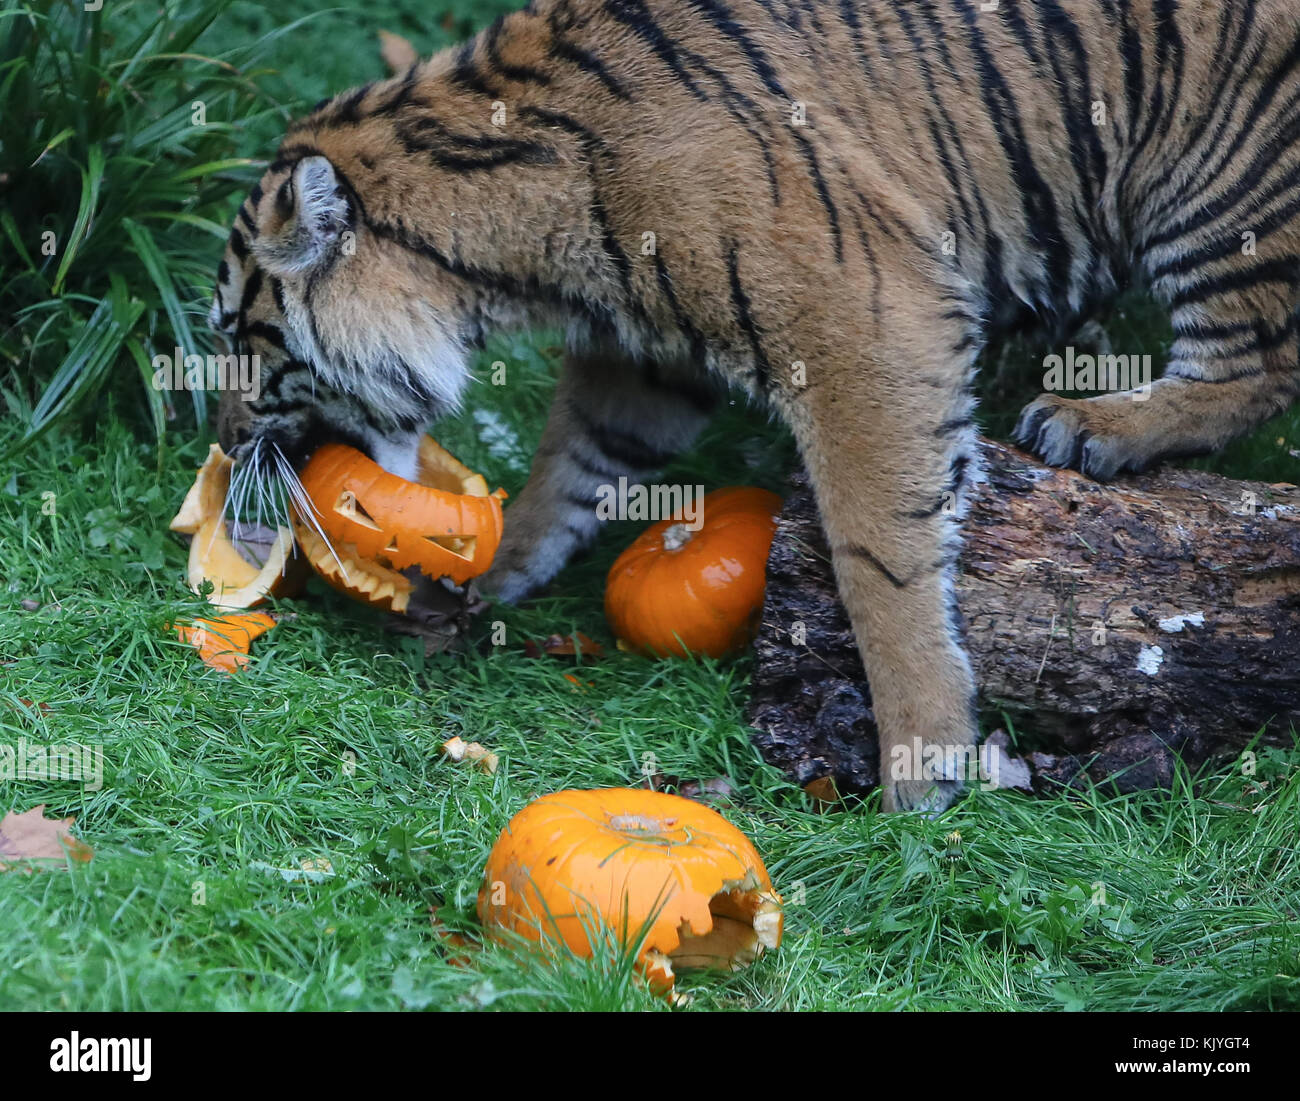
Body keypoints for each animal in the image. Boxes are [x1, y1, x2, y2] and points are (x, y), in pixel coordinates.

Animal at [211, 0, 1300, 812]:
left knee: (1259, 358)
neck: (514, 237)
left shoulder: (865, 314)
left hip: (1227, 174)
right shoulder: (649, 349)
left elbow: (879, 556)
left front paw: (924, 760)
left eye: (236, 337)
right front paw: (494, 567)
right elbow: (574, 460)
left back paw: (1096, 423)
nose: (220, 448)